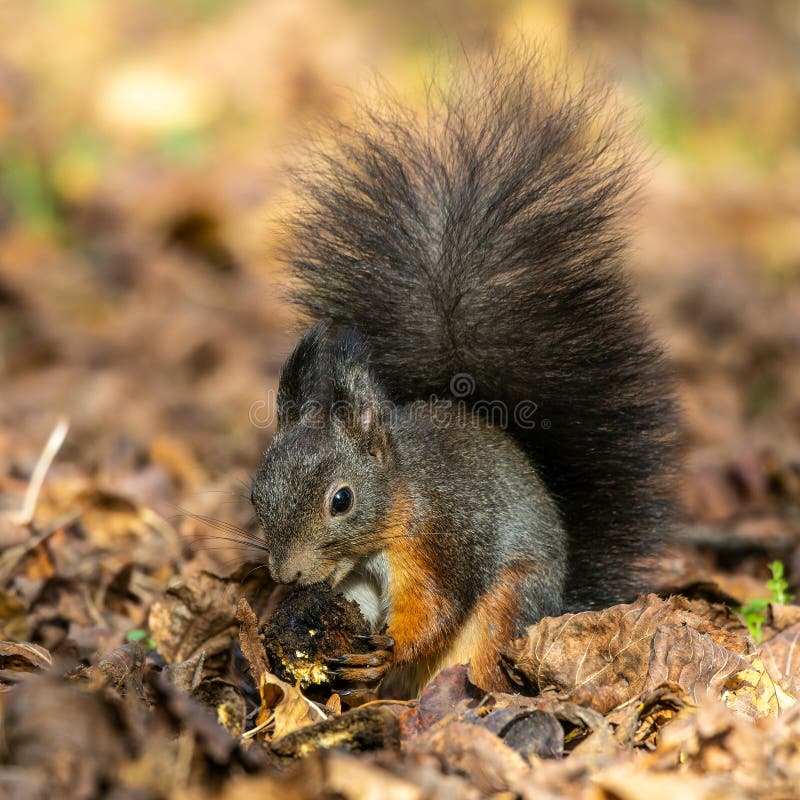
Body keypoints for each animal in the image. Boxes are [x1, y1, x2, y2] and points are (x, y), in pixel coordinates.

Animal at [251, 54, 679, 699]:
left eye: (341, 501)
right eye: (255, 494)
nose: (288, 573)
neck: (398, 501)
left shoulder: (442, 536)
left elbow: (436, 606)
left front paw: (382, 652)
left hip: (508, 608)